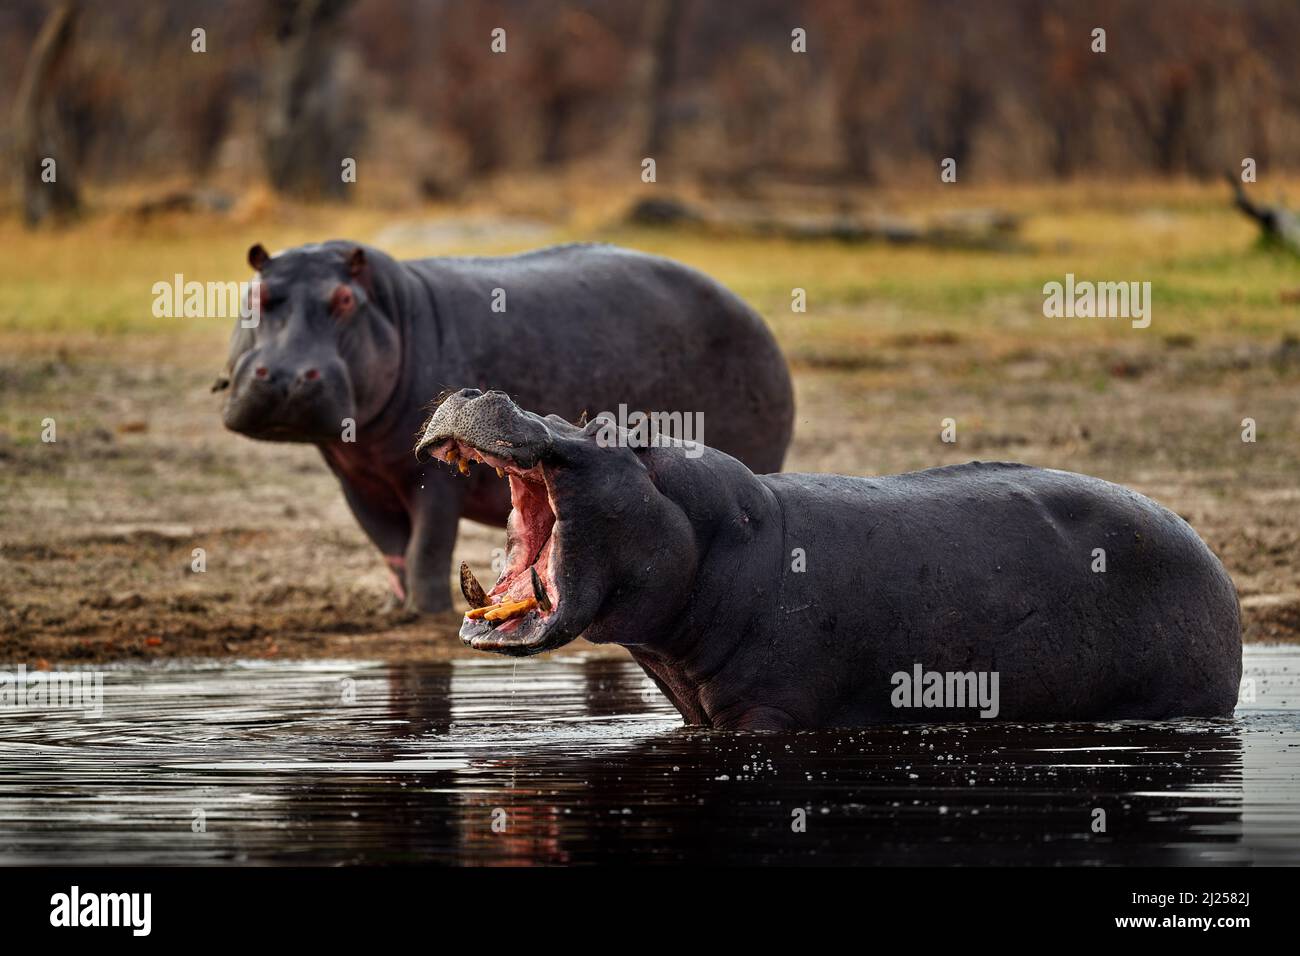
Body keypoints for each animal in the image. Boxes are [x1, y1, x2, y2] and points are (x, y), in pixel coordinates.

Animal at [216, 241, 794, 613]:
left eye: (343, 300)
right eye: (254, 294)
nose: (285, 376)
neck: (392, 309)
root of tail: (754, 315)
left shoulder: (433, 481)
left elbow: (427, 547)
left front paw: (425, 614)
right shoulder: (355, 479)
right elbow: (391, 549)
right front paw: (391, 612)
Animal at [416, 389, 1243, 730]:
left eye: (615, 430)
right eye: (577, 410)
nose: (481, 387)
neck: (722, 534)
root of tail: (1219, 567)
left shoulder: (769, 714)